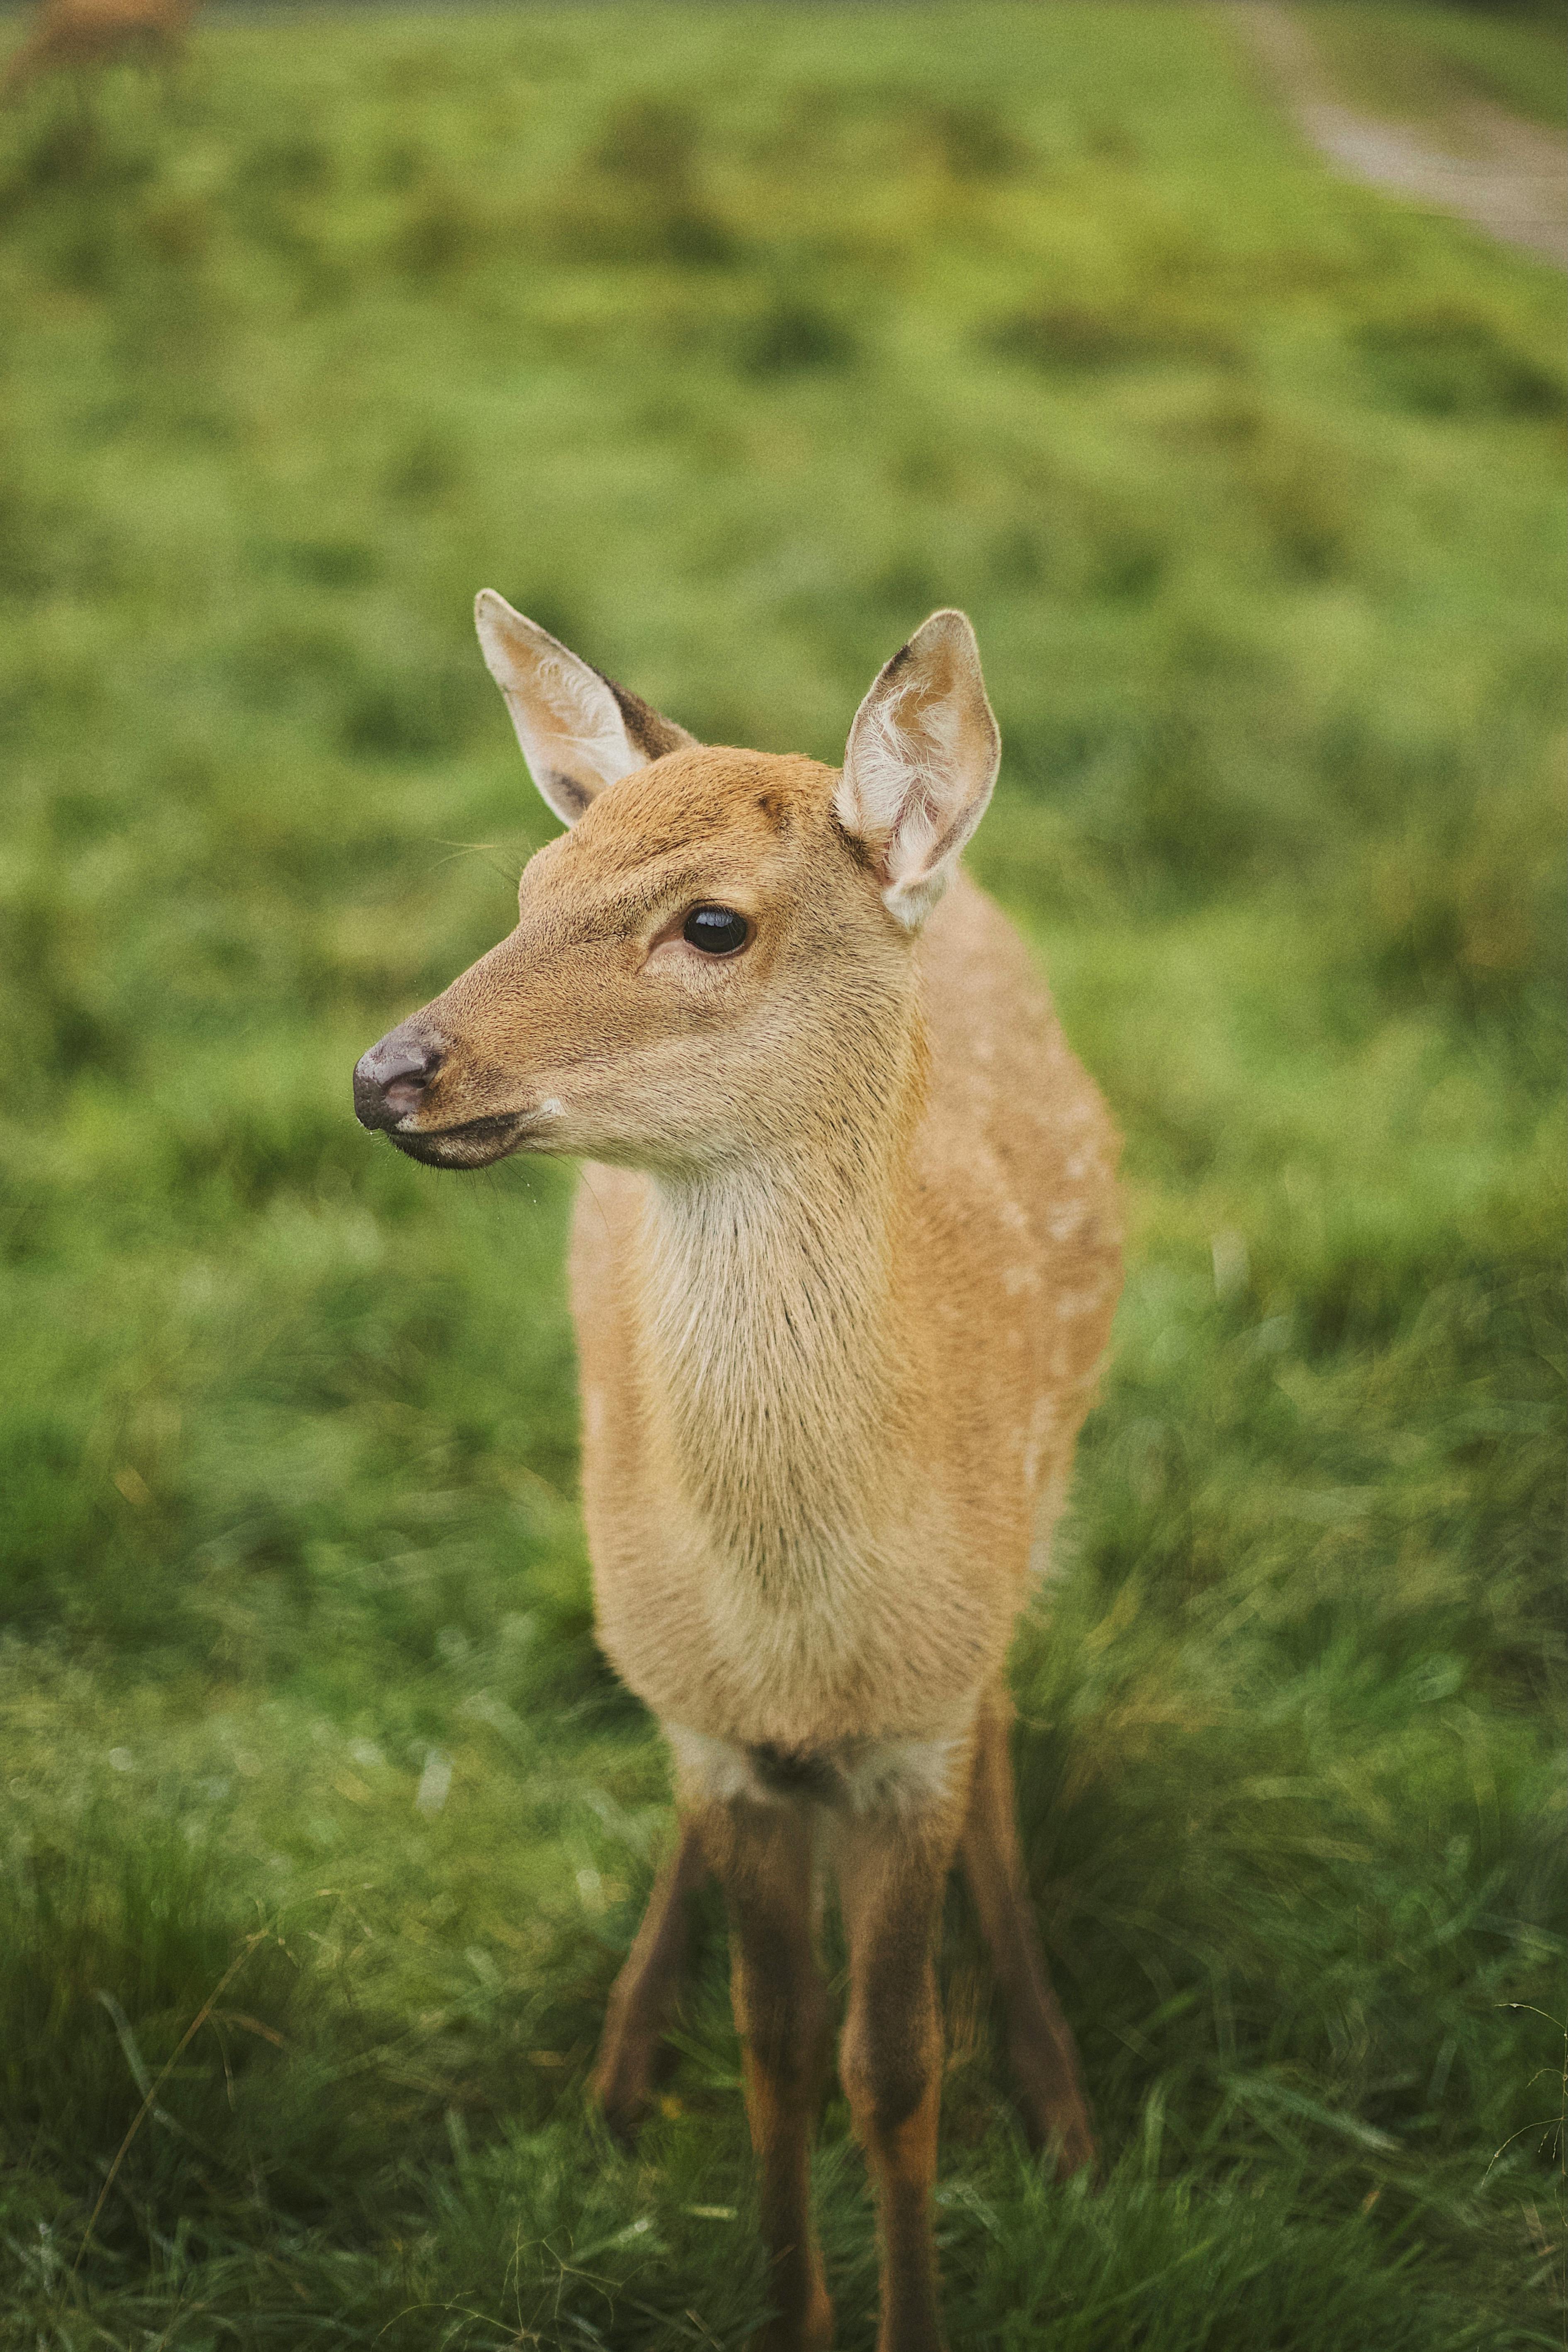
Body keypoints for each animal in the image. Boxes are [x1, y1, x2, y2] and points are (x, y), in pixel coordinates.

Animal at [353, 599, 1122, 2352]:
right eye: (529, 883)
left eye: (710, 922)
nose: (387, 1072)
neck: (804, 1639)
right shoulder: (711, 1725)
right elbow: (777, 2053)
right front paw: (790, 2301)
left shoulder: (912, 1731)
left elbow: (888, 2065)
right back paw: (622, 2058)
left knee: (1002, 1718)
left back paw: (1054, 2084)